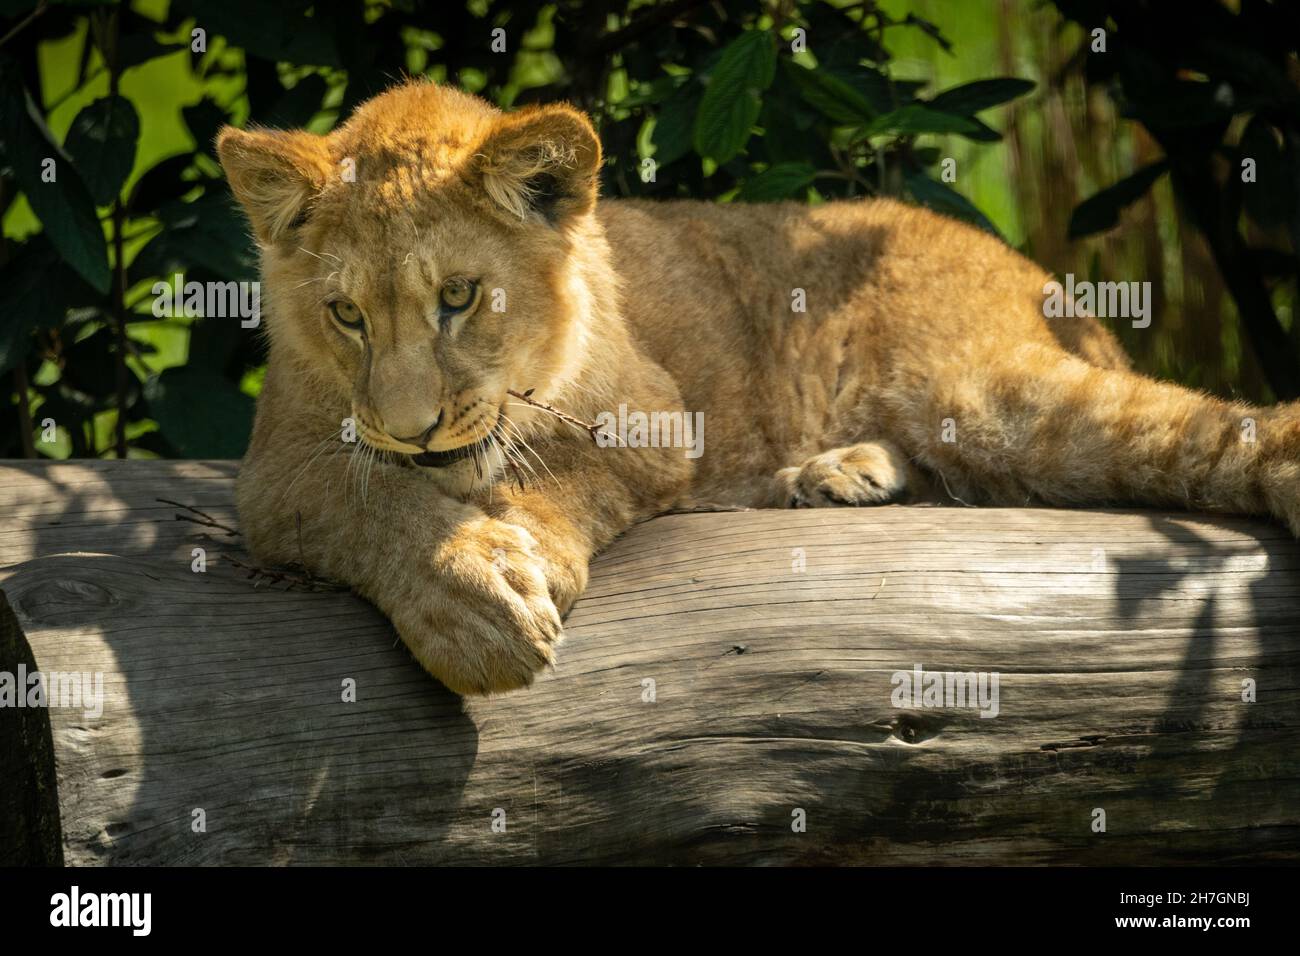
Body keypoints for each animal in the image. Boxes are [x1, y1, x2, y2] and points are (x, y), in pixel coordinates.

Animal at [217, 81, 1300, 695]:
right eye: (344, 314)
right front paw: (465, 587)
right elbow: (373, 505)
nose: (410, 428)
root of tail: (1046, 281)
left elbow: (560, 474)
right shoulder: (278, 469)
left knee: (1198, 431)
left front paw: (503, 567)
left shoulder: (656, 419)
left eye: (458, 296)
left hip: (984, 387)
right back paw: (838, 472)